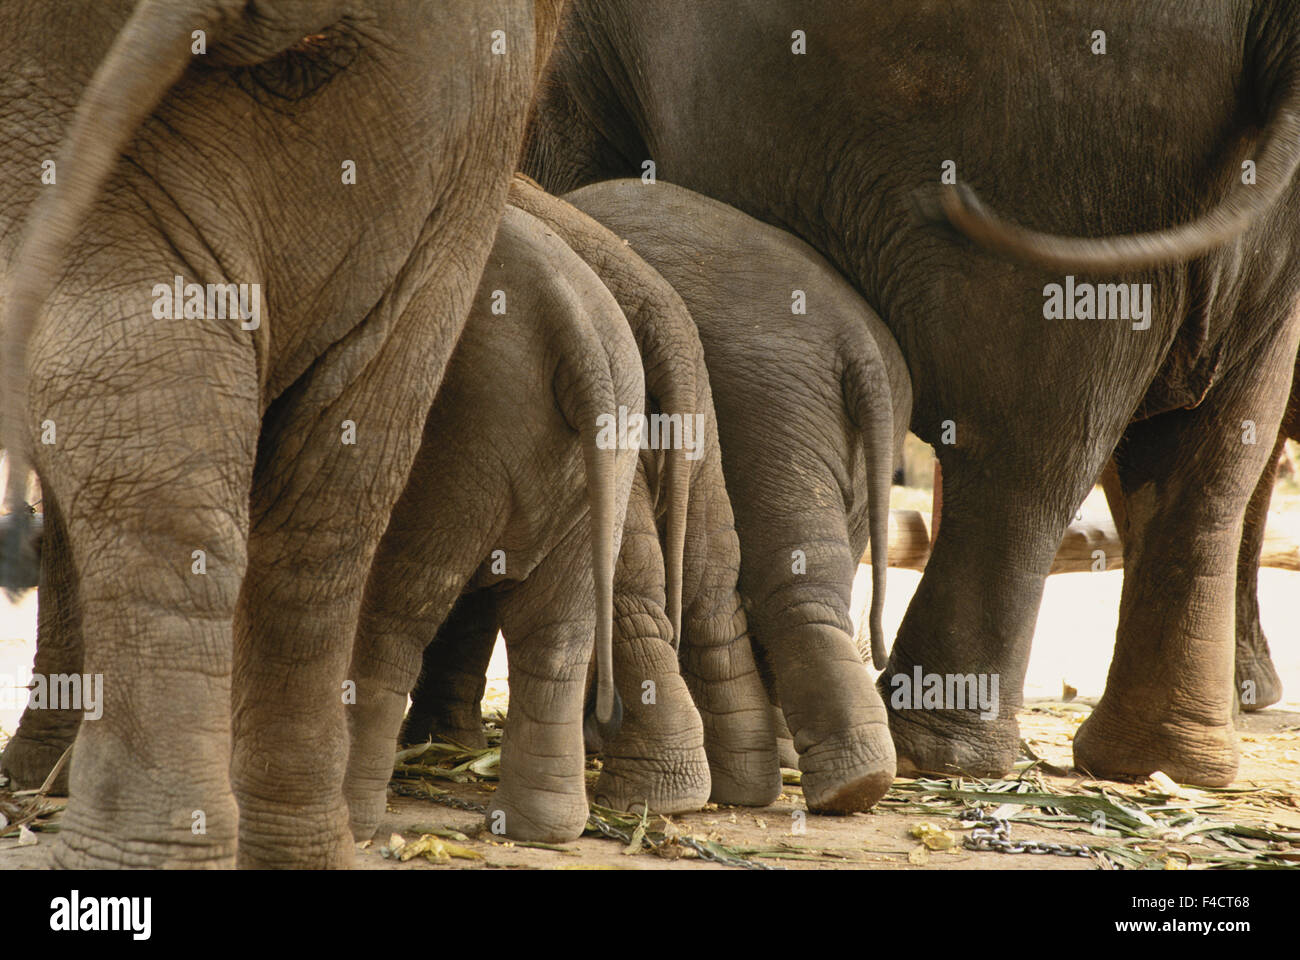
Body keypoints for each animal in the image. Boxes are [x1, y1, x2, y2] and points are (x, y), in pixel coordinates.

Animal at [399, 177, 783, 814]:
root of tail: (663, 318)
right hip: (692, 426)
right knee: (705, 581)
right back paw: (721, 792)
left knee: (632, 587)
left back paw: (651, 798)